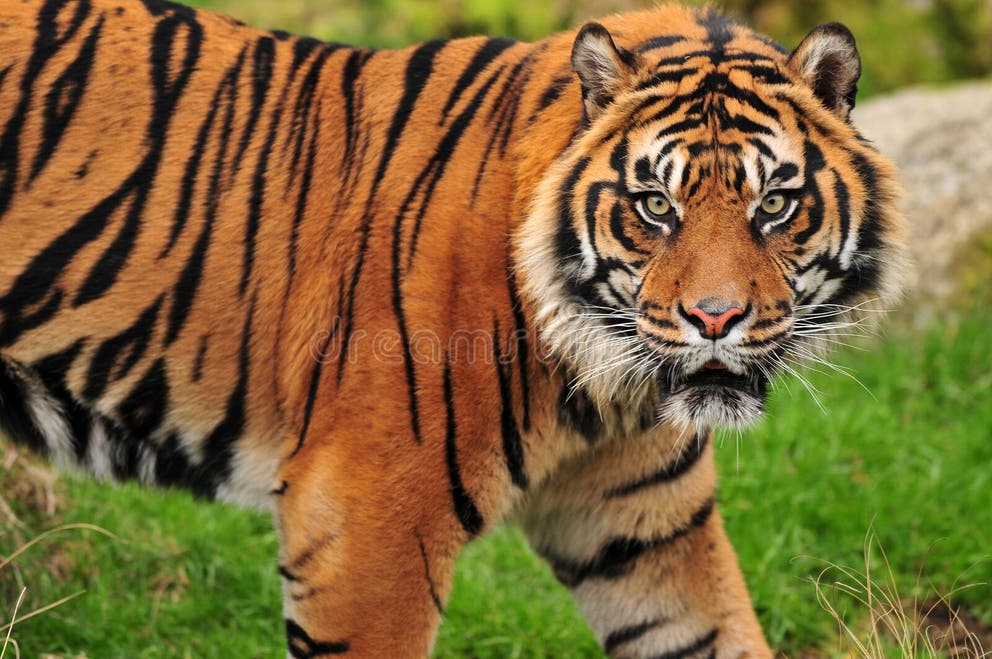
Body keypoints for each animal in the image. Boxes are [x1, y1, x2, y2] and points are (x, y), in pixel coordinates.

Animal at [0, 0, 907, 656]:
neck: (606, 386)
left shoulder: (646, 528)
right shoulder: (366, 522)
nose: (714, 319)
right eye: (656, 205)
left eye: (774, 204)